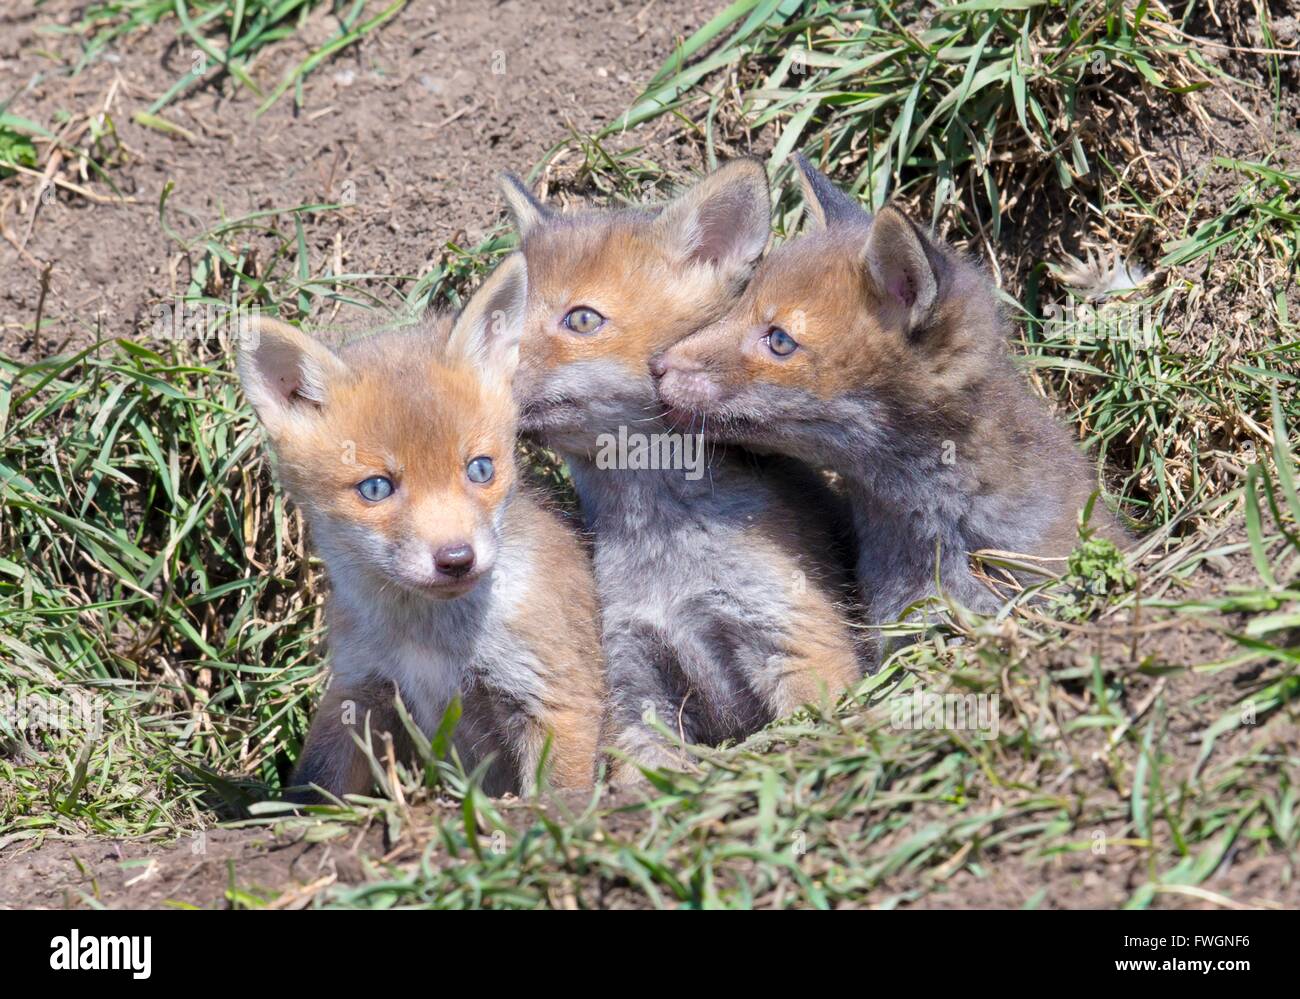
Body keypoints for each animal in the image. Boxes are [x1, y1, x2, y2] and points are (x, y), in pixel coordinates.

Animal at [237, 254, 606, 800]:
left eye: (480, 469)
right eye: (376, 488)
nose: (456, 559)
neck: (428, 641)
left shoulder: (554, 696)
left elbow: (558, 794)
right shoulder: (359, 688)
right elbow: (315, 783)